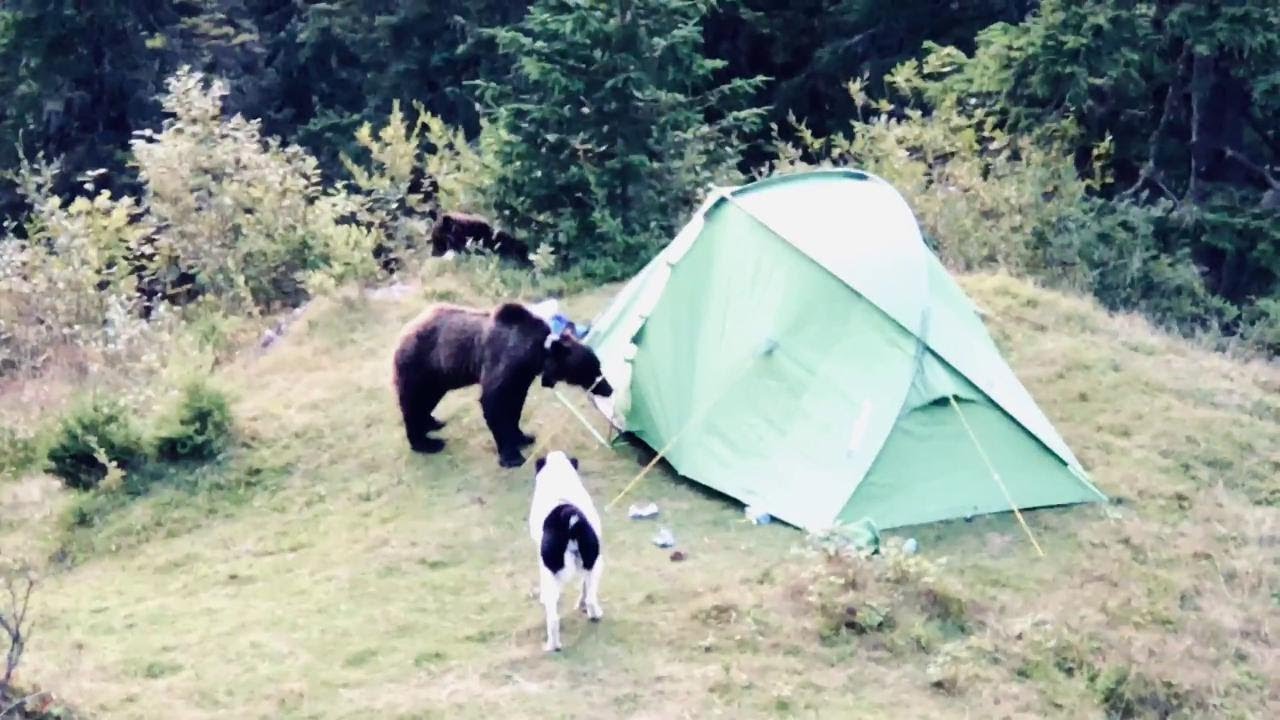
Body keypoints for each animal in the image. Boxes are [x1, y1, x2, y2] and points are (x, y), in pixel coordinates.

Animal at [392, 301, 613, 467]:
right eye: (593, 369)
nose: (609, 389)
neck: (536, 353)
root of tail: (406, 329)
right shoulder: (503, 361)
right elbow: (494, 402)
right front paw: (512, 456)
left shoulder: (521, 376)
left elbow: (515, 404)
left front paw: (523, 436)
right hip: (419, 365)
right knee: (412, 400)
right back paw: (426, 443)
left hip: (438, 376)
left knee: (427, 399)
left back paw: (432, 422)